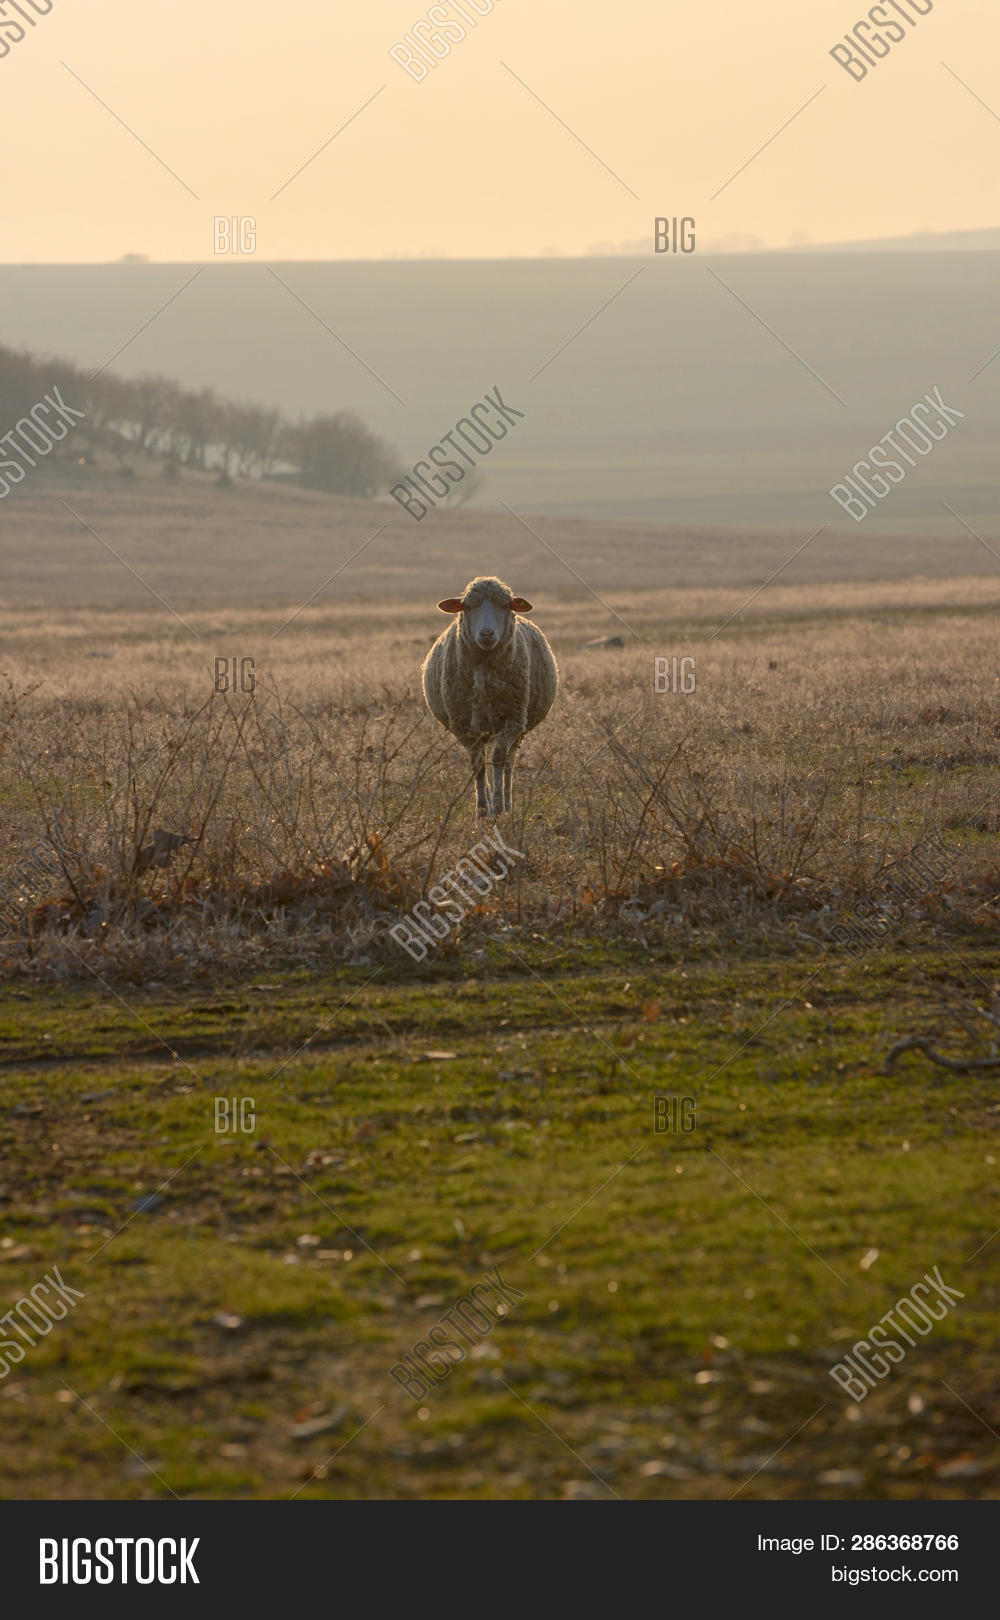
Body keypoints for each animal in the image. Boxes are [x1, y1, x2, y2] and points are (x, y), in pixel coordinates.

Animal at [421, 575, 558, 816]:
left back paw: (507, 803)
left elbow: (499, 759)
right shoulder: (463, 725)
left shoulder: (513, 720)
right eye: (468, 606)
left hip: (519, 726)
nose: (486, 634)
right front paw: (482, 808)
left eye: (505, 606)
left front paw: (497, 805)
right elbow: (477, 766)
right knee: (483, 759)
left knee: (509, 762)